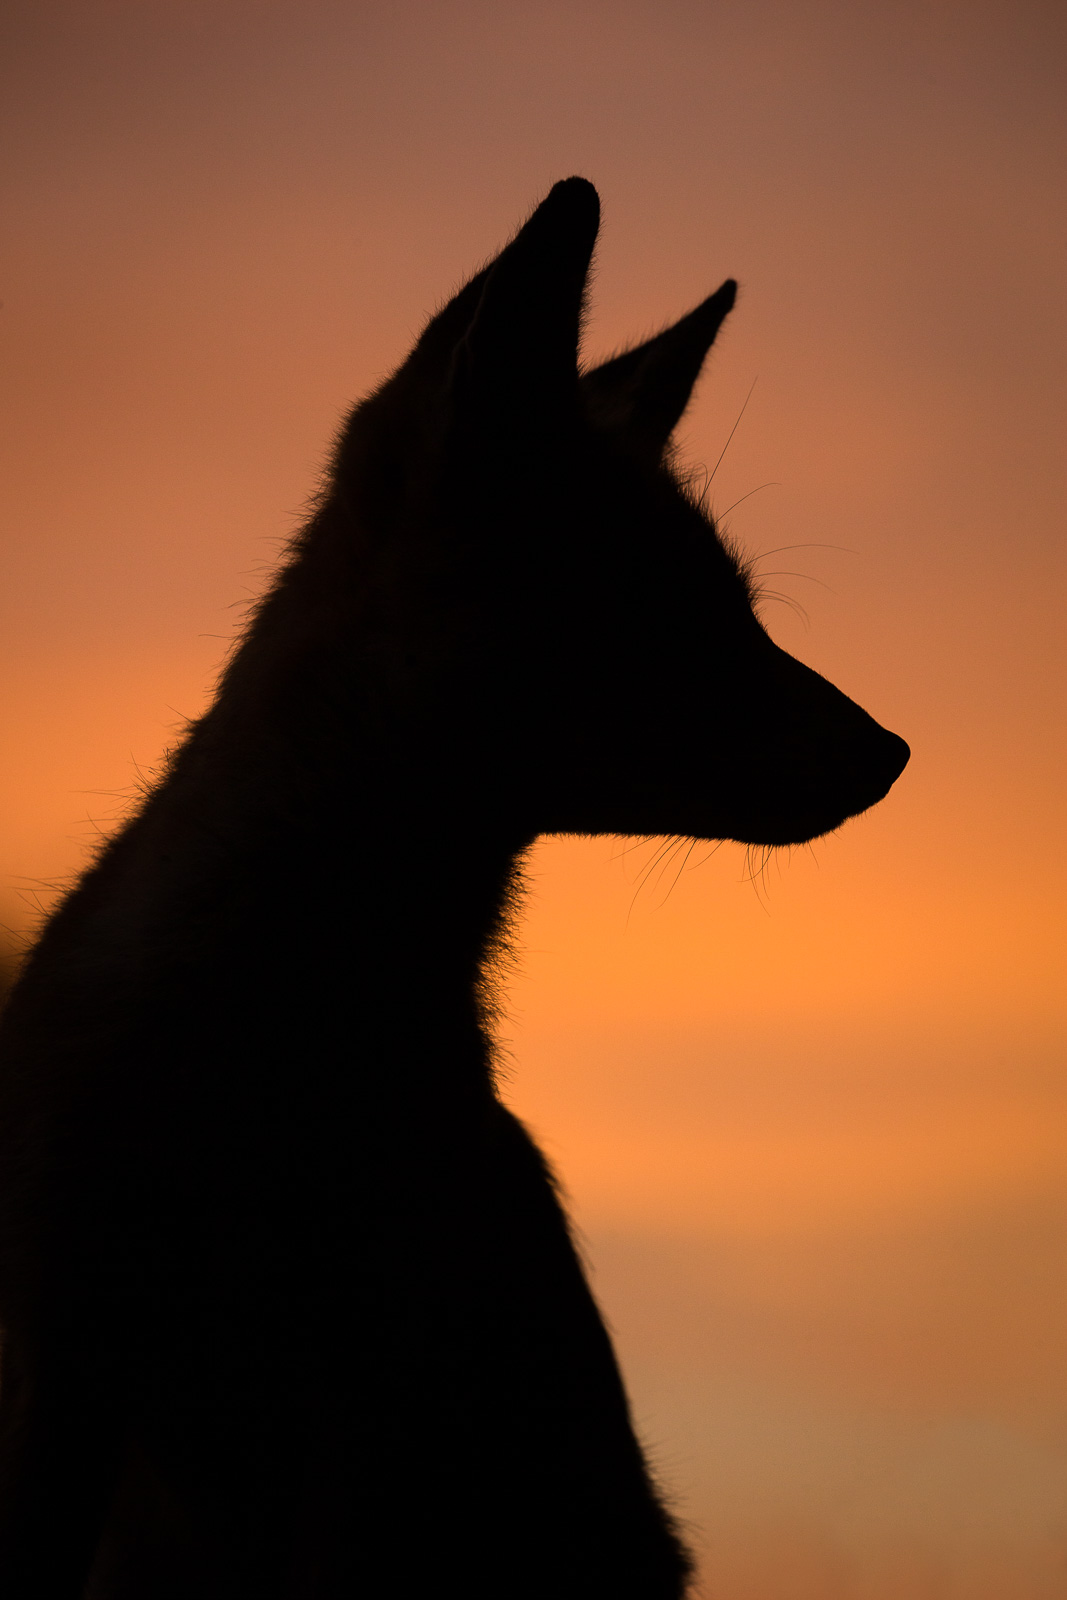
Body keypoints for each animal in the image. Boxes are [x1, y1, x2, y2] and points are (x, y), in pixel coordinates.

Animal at [0, 178, 908, 1598]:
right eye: (665, 605)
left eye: (742, 605)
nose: (892, 752)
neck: (275, 1027)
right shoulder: (71, 1361)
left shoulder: (364, 1419)